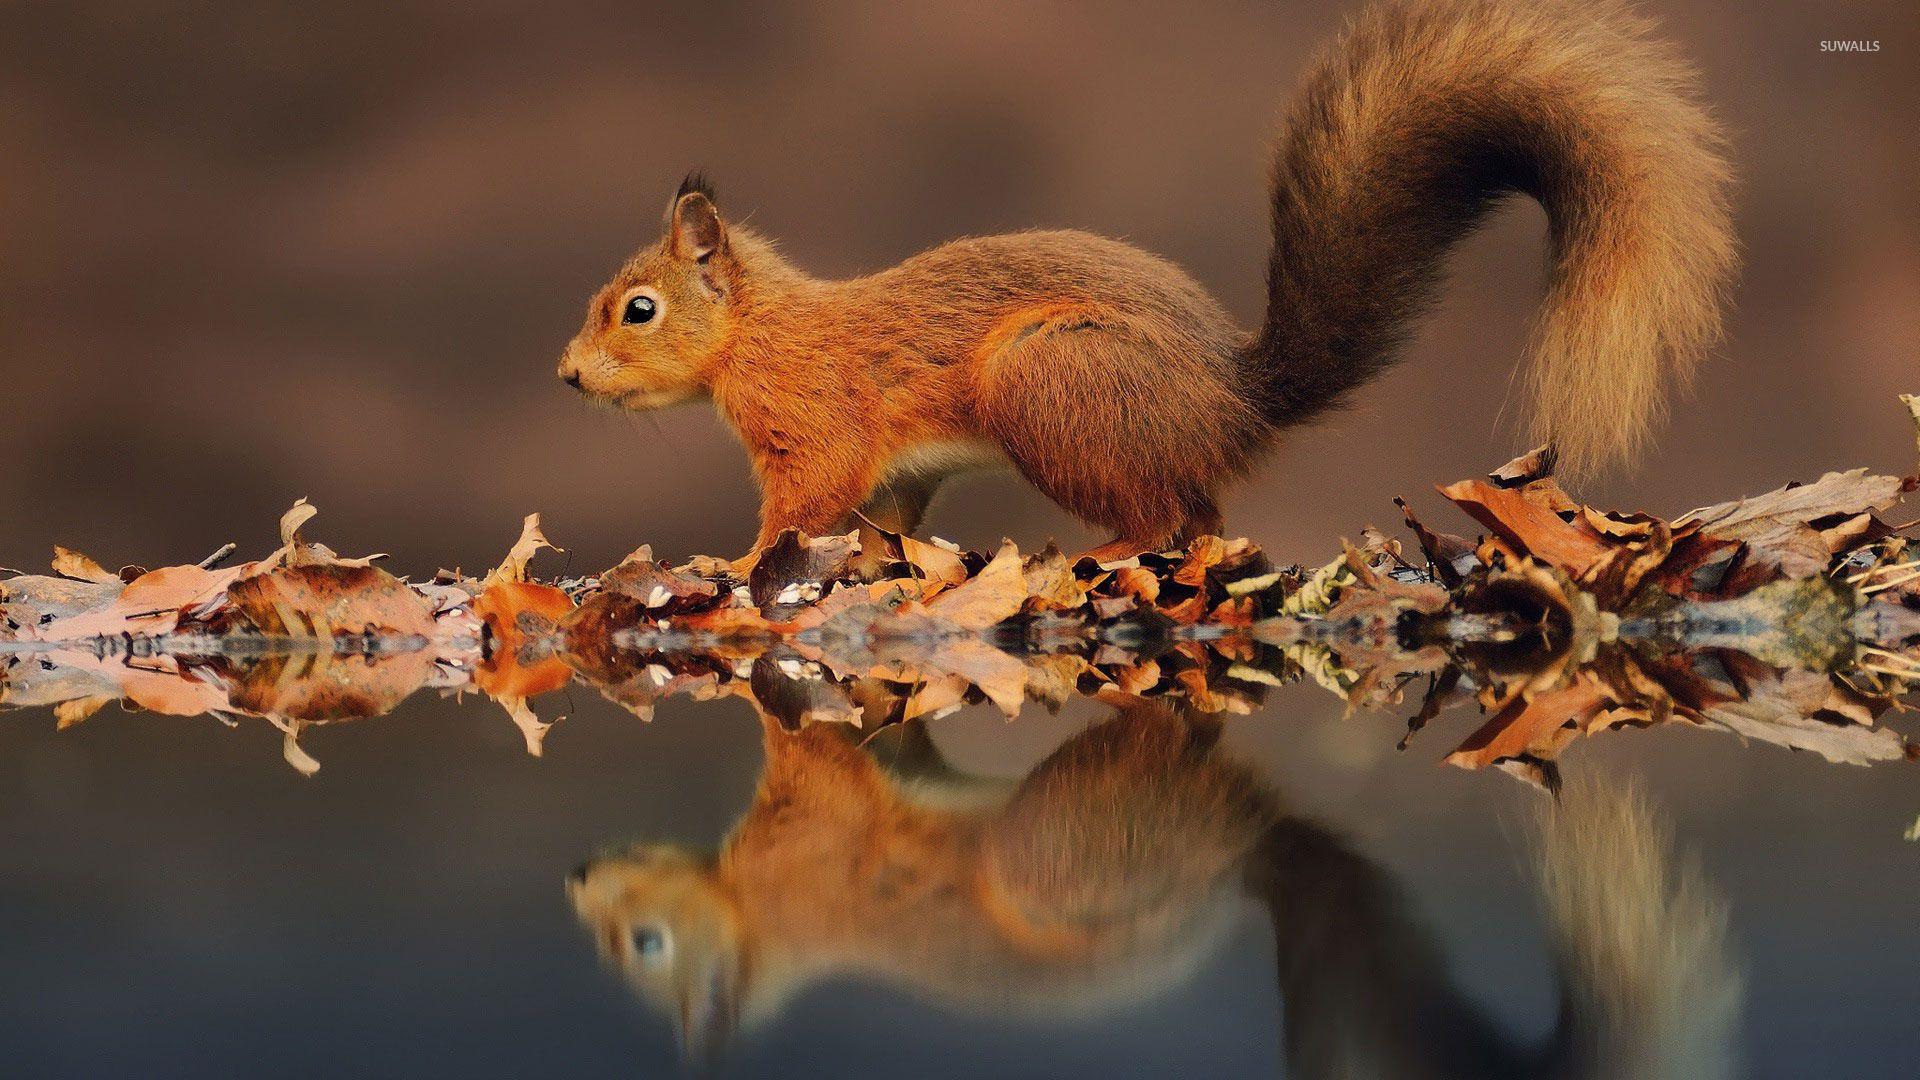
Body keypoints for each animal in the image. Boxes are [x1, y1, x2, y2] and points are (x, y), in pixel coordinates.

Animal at [558, 0, 1734, 562]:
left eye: (639, 309)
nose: (567, 377)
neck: (758, 331)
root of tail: (1232, 401)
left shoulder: (815, 421)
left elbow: (804, 503)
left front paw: (734, 565)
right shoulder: (894, 471)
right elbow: (884, 512)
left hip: (1050, 389)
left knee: (1163, 516)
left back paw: (1098, 548)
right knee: (1200, 514)